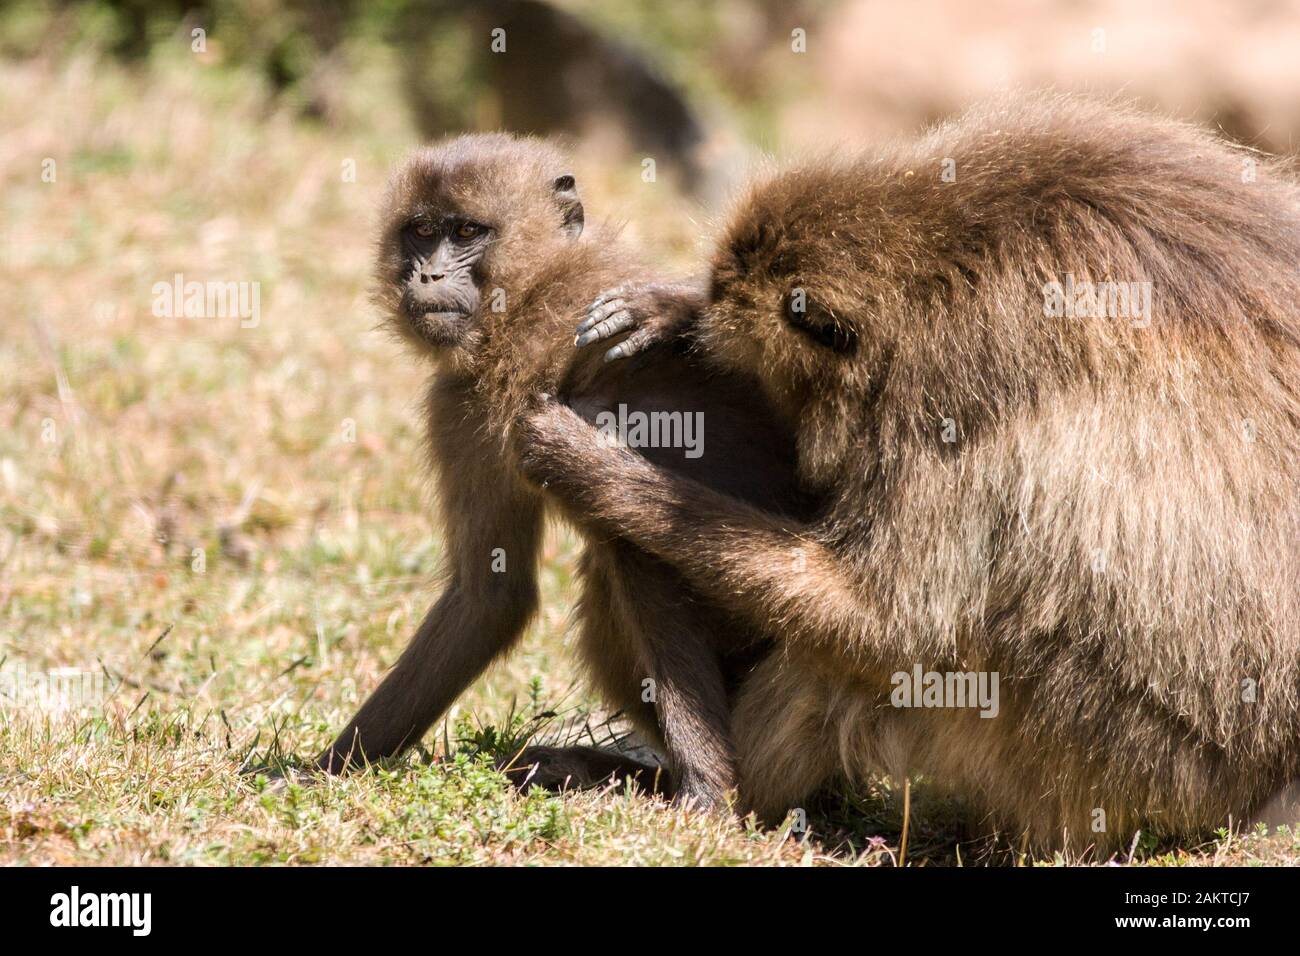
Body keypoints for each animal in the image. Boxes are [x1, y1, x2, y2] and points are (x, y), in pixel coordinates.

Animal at [315, 133, 811, 809]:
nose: (430, 274)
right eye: (420, 231)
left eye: (466, 230)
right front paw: (320, 769)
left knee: (629, 542)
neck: (532, 288)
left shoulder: (488, 389)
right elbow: (488, 596)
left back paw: (697, 785)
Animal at [513, 93, 1300, 852]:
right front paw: (671, 310)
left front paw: (590, 464)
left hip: (1118, 758)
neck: (944, 258)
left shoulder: (947, 395)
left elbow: (886, 624)